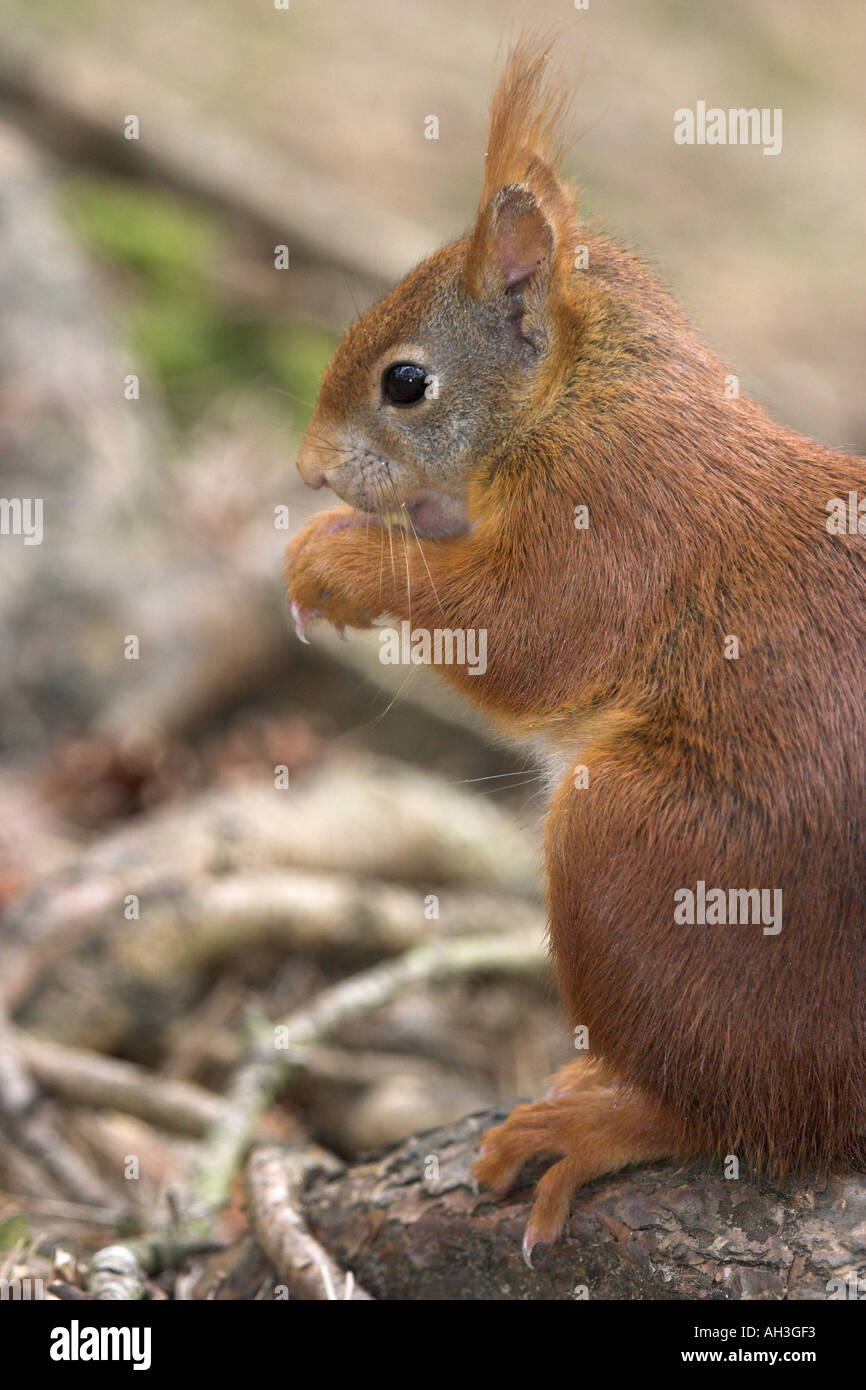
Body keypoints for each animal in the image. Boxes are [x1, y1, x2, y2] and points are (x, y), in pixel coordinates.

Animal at [285, 39, 866, 1262]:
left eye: (405, 382)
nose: (310, 470)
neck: (581, 397)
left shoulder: (613, 520)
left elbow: (528, 635)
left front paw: (330, 561)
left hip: (659, 856)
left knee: (756, 1112)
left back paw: (610, 1119)